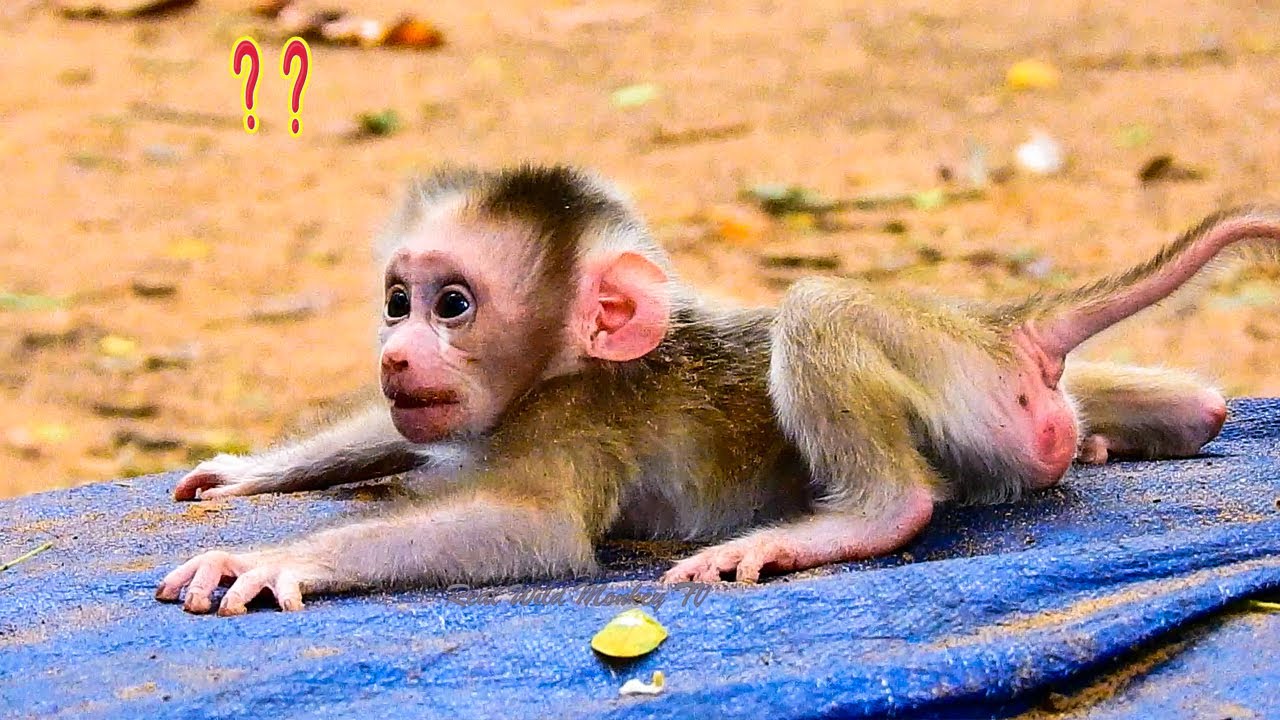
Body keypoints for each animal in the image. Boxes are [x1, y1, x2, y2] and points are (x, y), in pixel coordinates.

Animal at [154, 163, 1280, 615]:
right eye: (397, 301)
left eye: (454, 305)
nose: (397, 353)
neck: (562, 366)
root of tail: (998, 325)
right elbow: (408, 442)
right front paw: (244, 476)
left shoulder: (573, 419)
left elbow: (531, 525)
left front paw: (273, 559)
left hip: (964, 382)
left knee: (817, 309)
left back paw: (854, 521)